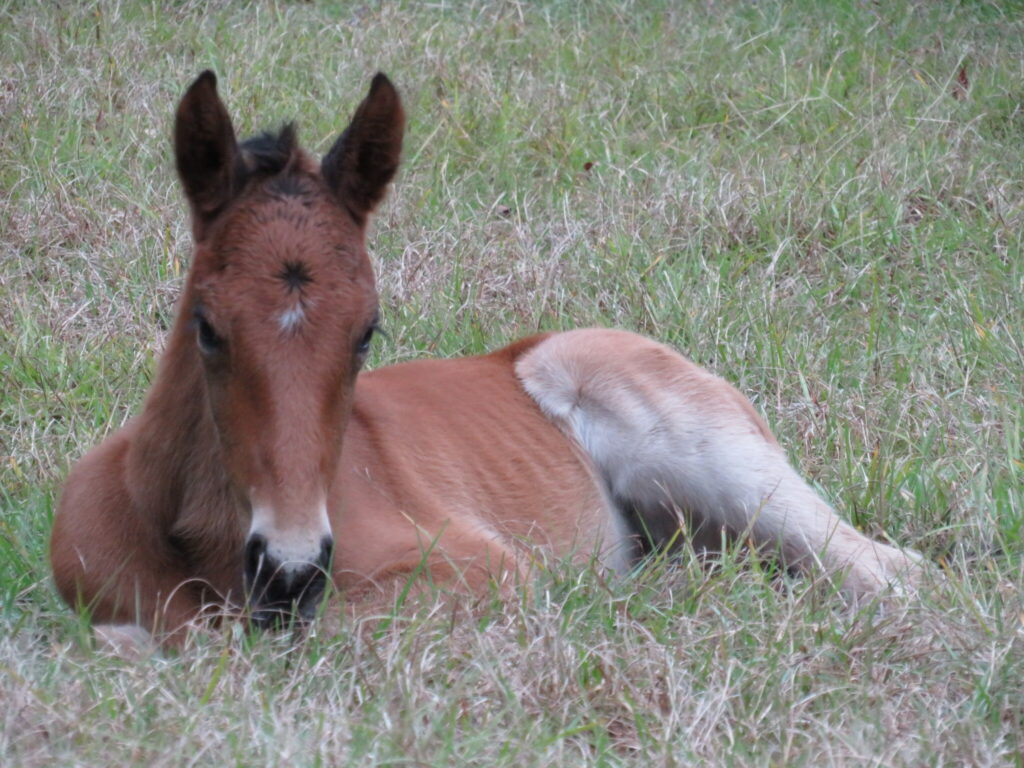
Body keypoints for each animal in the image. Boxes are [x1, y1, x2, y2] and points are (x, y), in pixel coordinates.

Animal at [50, 71, 924, 645]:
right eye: (206, 326)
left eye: (368, 331)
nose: (289, 570)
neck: (193, 536)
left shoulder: (485, 570)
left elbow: (280, 638)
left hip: (721, 462)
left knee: (882, 570)